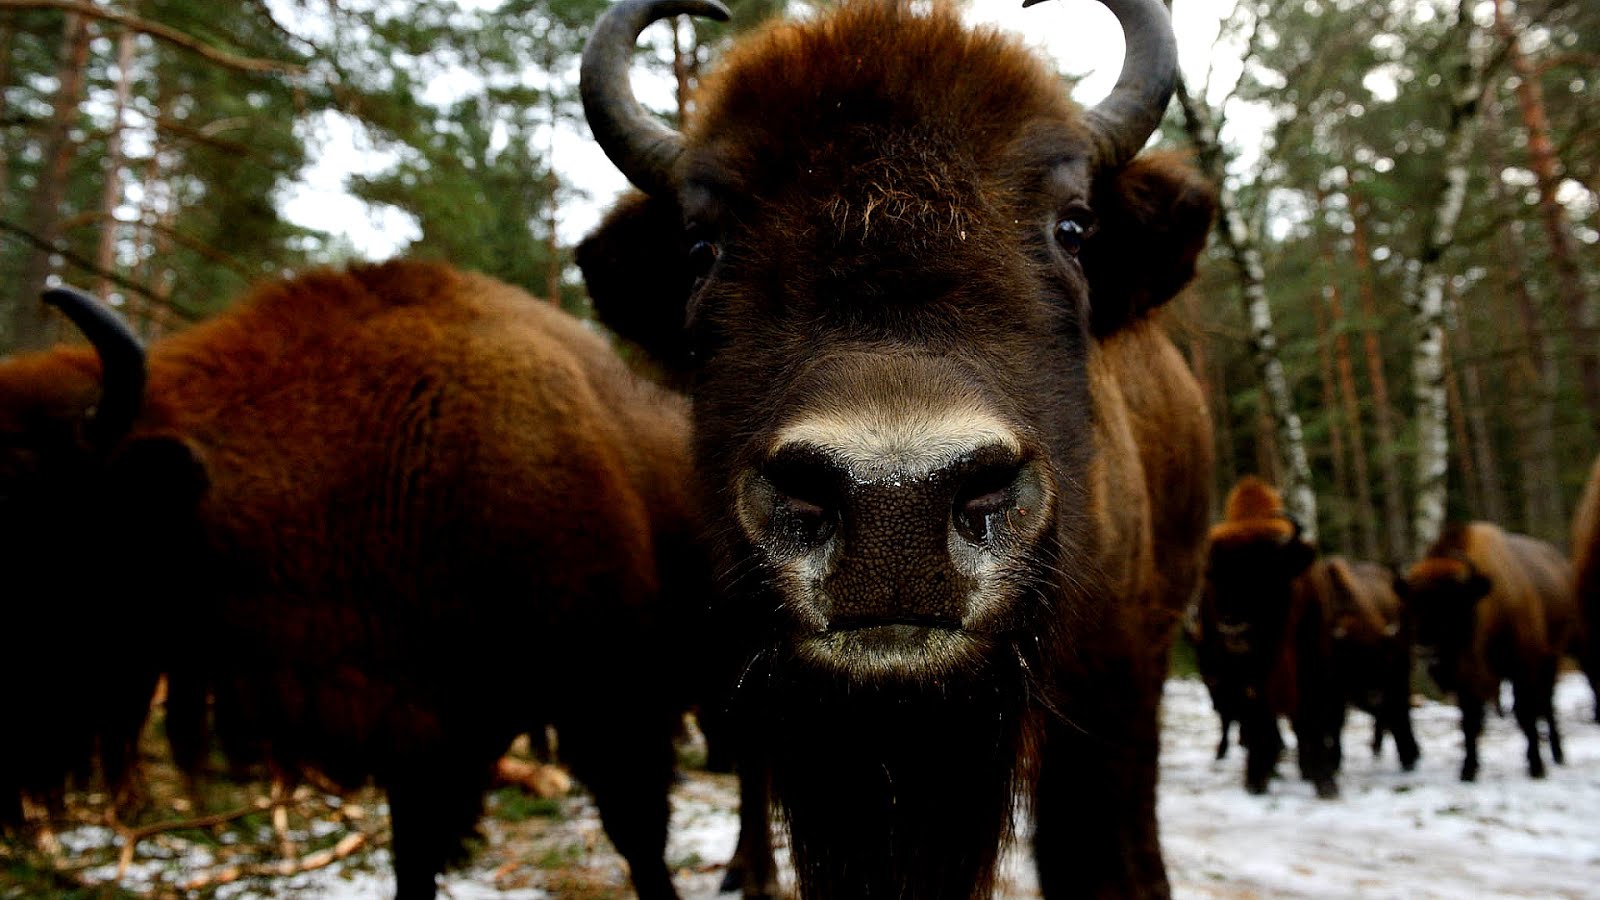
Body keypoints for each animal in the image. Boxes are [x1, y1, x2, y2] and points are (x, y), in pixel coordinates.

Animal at [1399, 522, 1576, 781]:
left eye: (1451, 601)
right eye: (1413, 602)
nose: (1425, 647)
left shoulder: (1522, 666)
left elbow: (1526, 714)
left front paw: (1536, 766)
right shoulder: (1465, 680)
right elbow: (1469, 721)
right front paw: (1468, 770)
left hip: (1551, 657)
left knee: (1546, 704)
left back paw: (1557, 754)